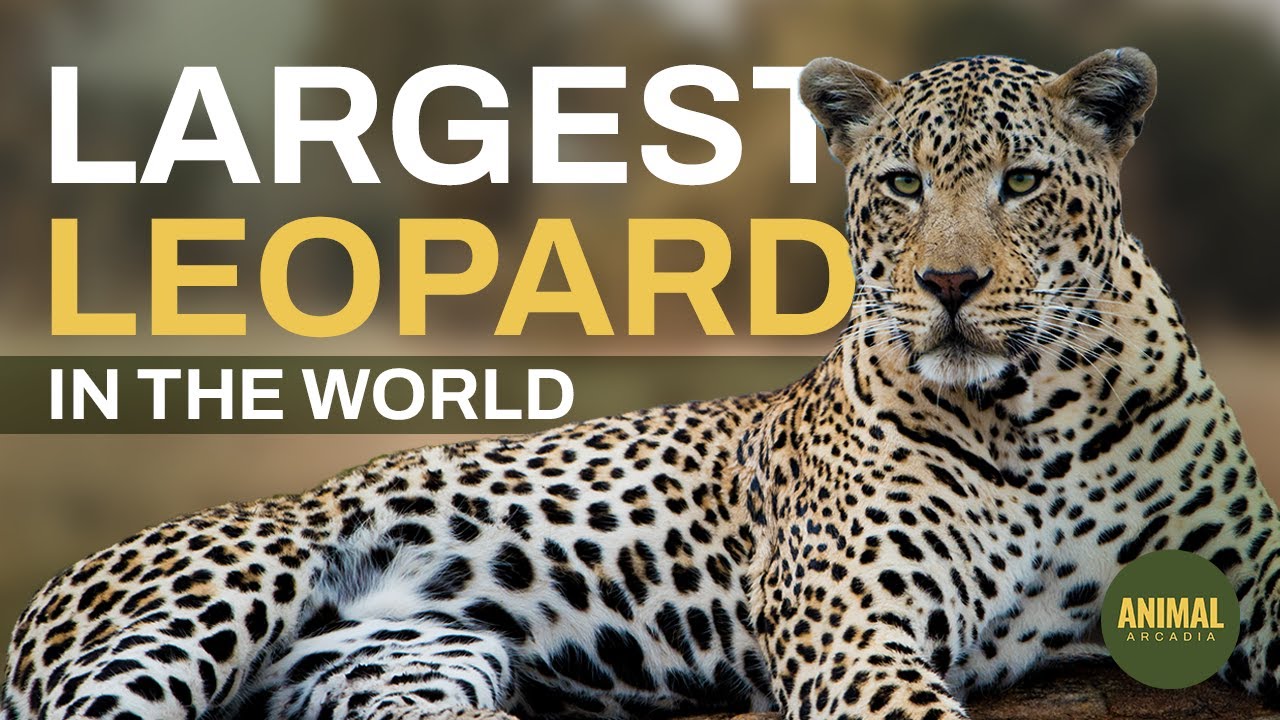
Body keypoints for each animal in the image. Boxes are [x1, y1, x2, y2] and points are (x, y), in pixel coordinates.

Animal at [4, 47, 1276, 720]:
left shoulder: (1246, 579)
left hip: (420, 669)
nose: (949, 284)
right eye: (902, 183)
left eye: (1021, 182)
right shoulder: (849, 623)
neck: (1036, 416)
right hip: (232, 580)